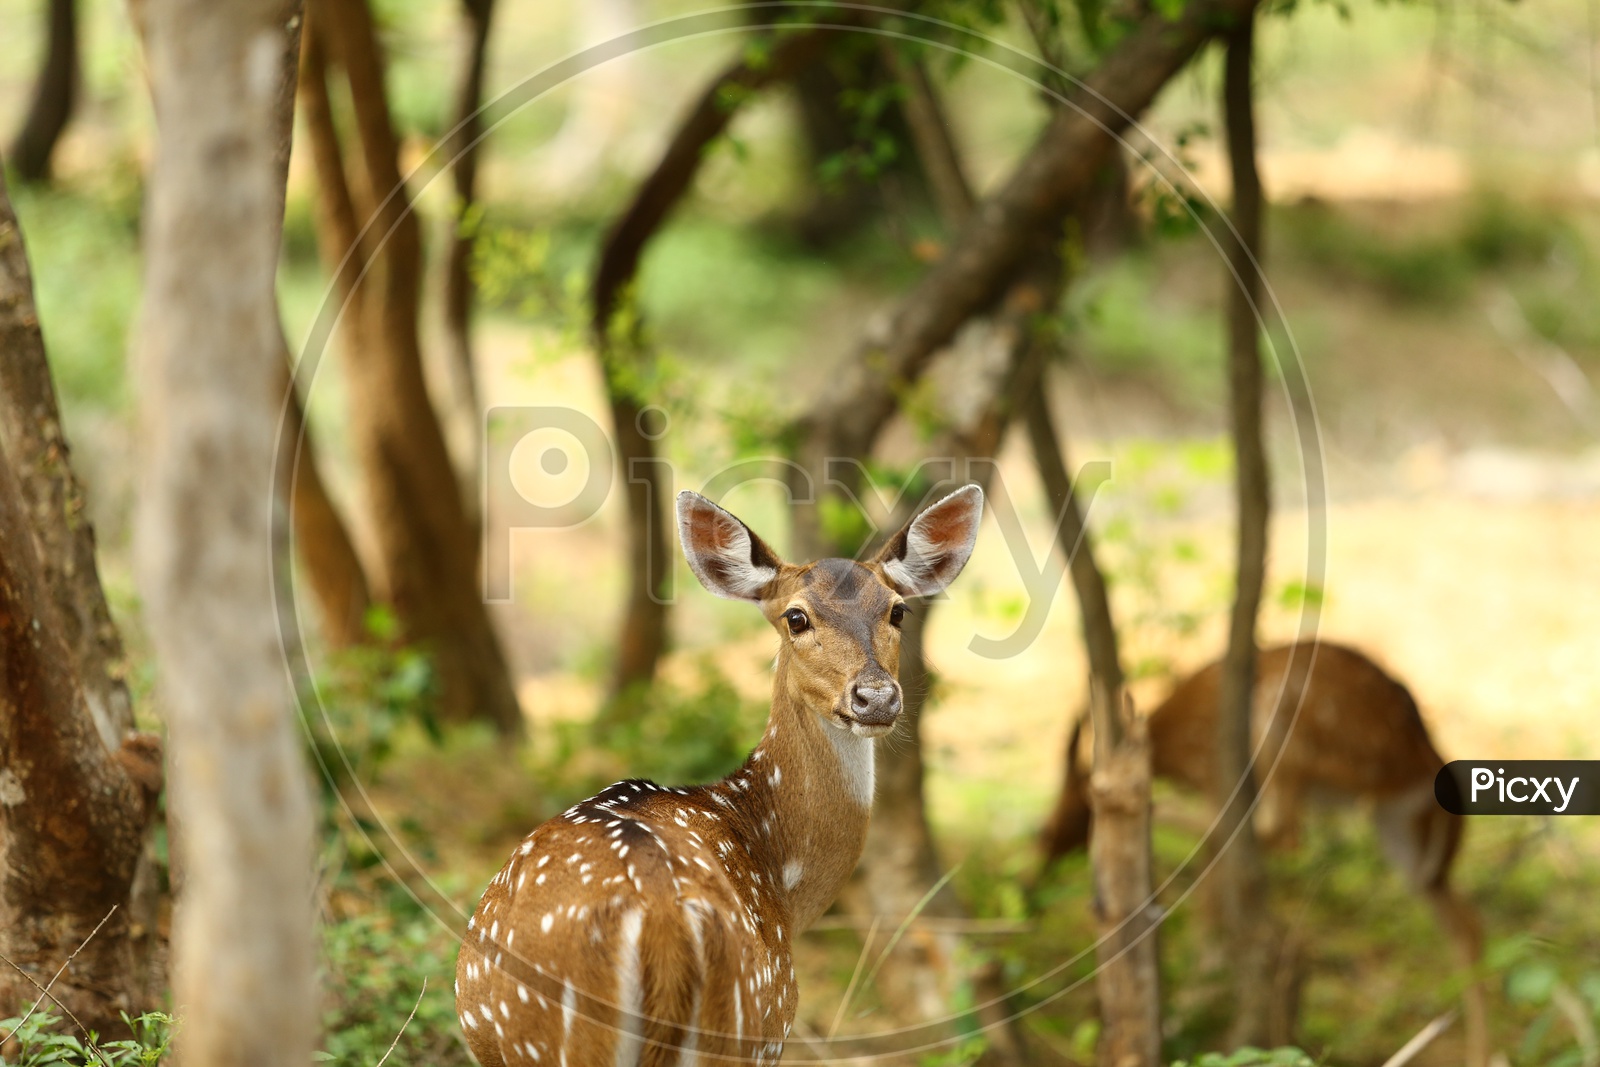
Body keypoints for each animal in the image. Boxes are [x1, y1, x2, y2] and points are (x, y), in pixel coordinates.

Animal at [1038, 640, 1487, 1066]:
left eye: (1056, 825)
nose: (1043, 863)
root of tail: (1423, 753)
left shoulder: (1215, 777)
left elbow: (1211, 882)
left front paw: (1188, 1005)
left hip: (1285, 722)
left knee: (1281, 833)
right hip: (1398, 824)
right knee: (1464, 922)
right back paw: (1483, 1052)